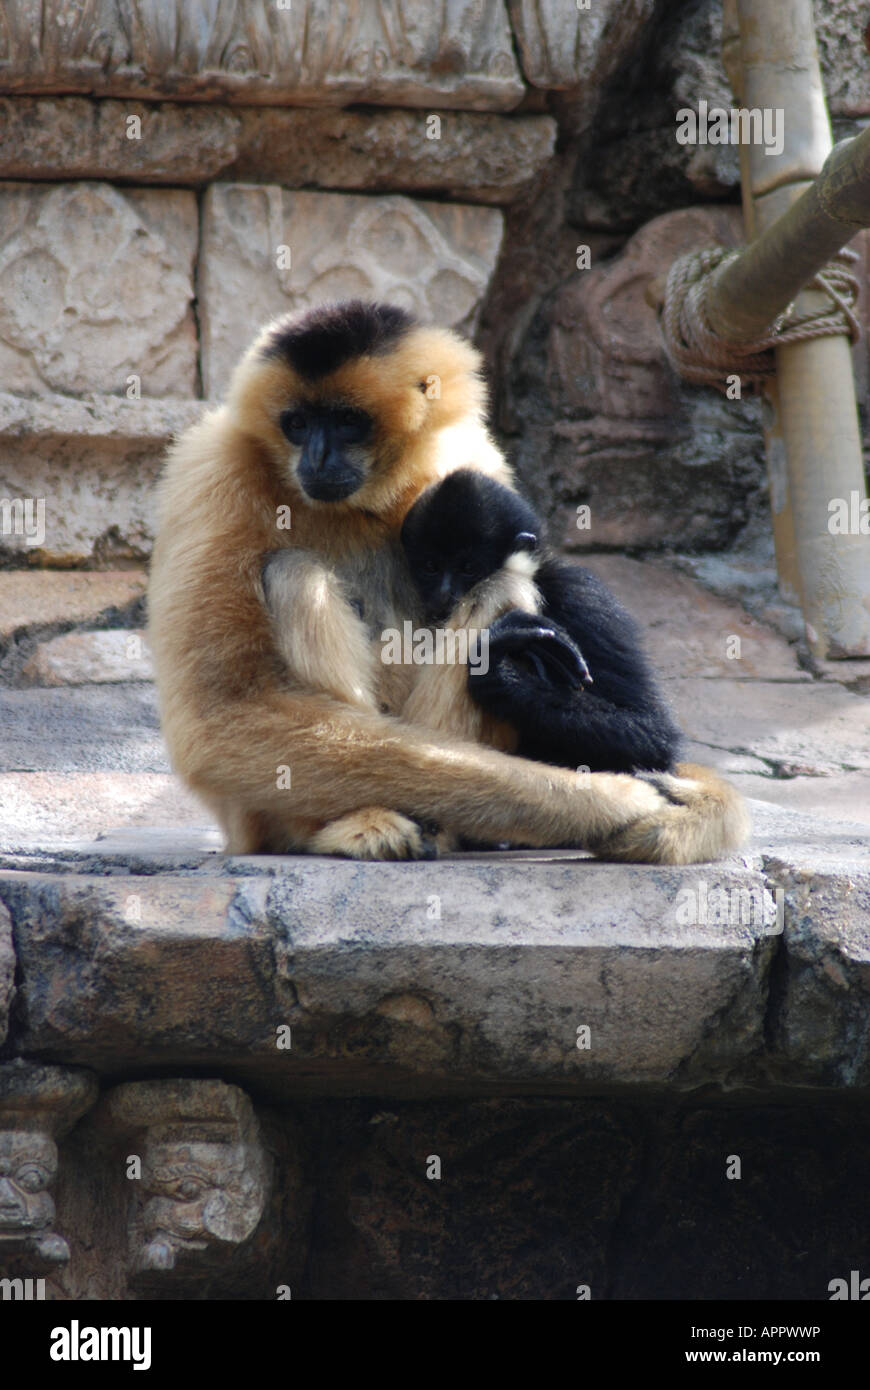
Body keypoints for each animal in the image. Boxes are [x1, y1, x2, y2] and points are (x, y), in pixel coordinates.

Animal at [398, 468, 682, 777]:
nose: (444, 593)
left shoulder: (580, 595)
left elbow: (652, 733)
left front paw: (502, 674)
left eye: (468, 568)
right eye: (430, 567)